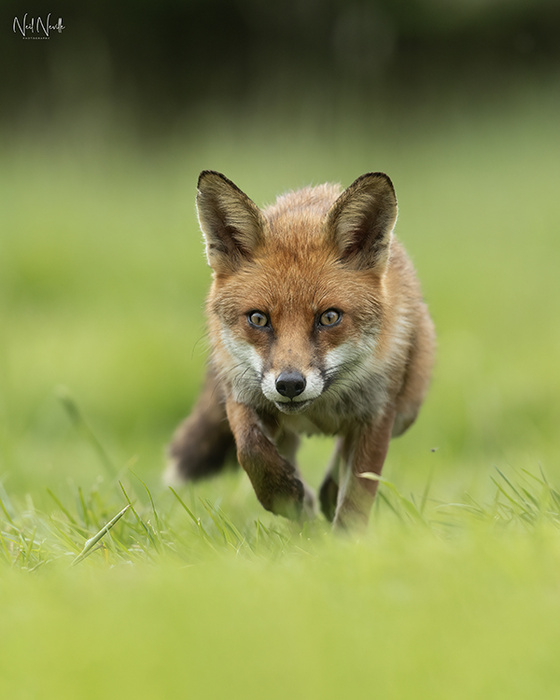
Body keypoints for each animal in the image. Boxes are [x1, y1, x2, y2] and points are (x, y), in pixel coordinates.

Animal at [167, 170, 435, 530]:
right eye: (258, 318)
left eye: (329, 317)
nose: (290, 385)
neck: (318, 409)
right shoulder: (242, 393)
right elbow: (250, 449)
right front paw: (283, 496)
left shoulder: (377, 414)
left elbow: (357, 497)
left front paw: (346, 540)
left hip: (406, 409)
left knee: (339, 465)